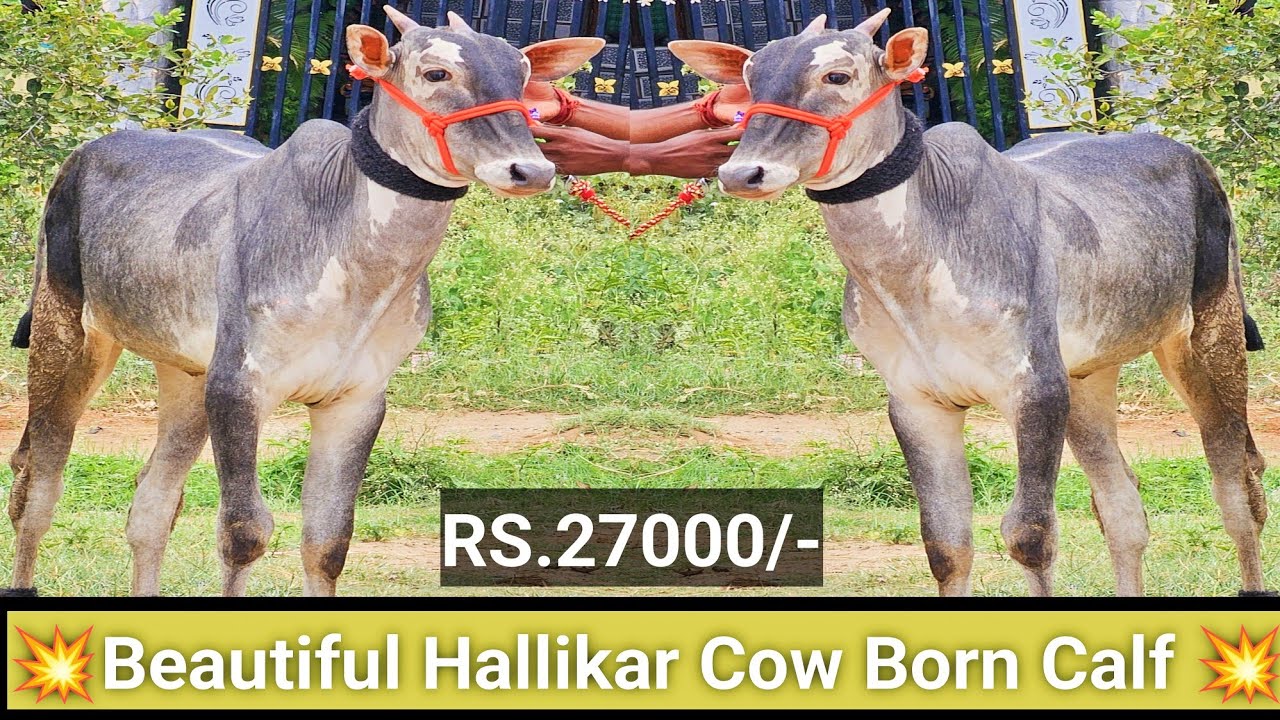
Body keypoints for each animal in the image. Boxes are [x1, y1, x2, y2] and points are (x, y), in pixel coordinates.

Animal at [4, 9, 602, 597]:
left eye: (523, 77)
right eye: (436, 74)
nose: (531, 170)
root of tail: (84, 153)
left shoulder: (356, 400)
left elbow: (328, 542)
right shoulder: (239, 387)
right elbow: (244, 532)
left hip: (186, 373)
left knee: (152, 502)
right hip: (67, 336)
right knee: (37, 482)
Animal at [672, 11, 1271, 596]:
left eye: (836, 76)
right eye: (750, 80)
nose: (742, 173)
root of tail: (1190, 156)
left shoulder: (1034, 390)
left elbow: (1030, 536)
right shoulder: (918, 403)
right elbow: (945, 545)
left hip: (1207, 338)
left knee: (1237, 485)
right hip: (1087, 375)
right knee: (1122, 505)